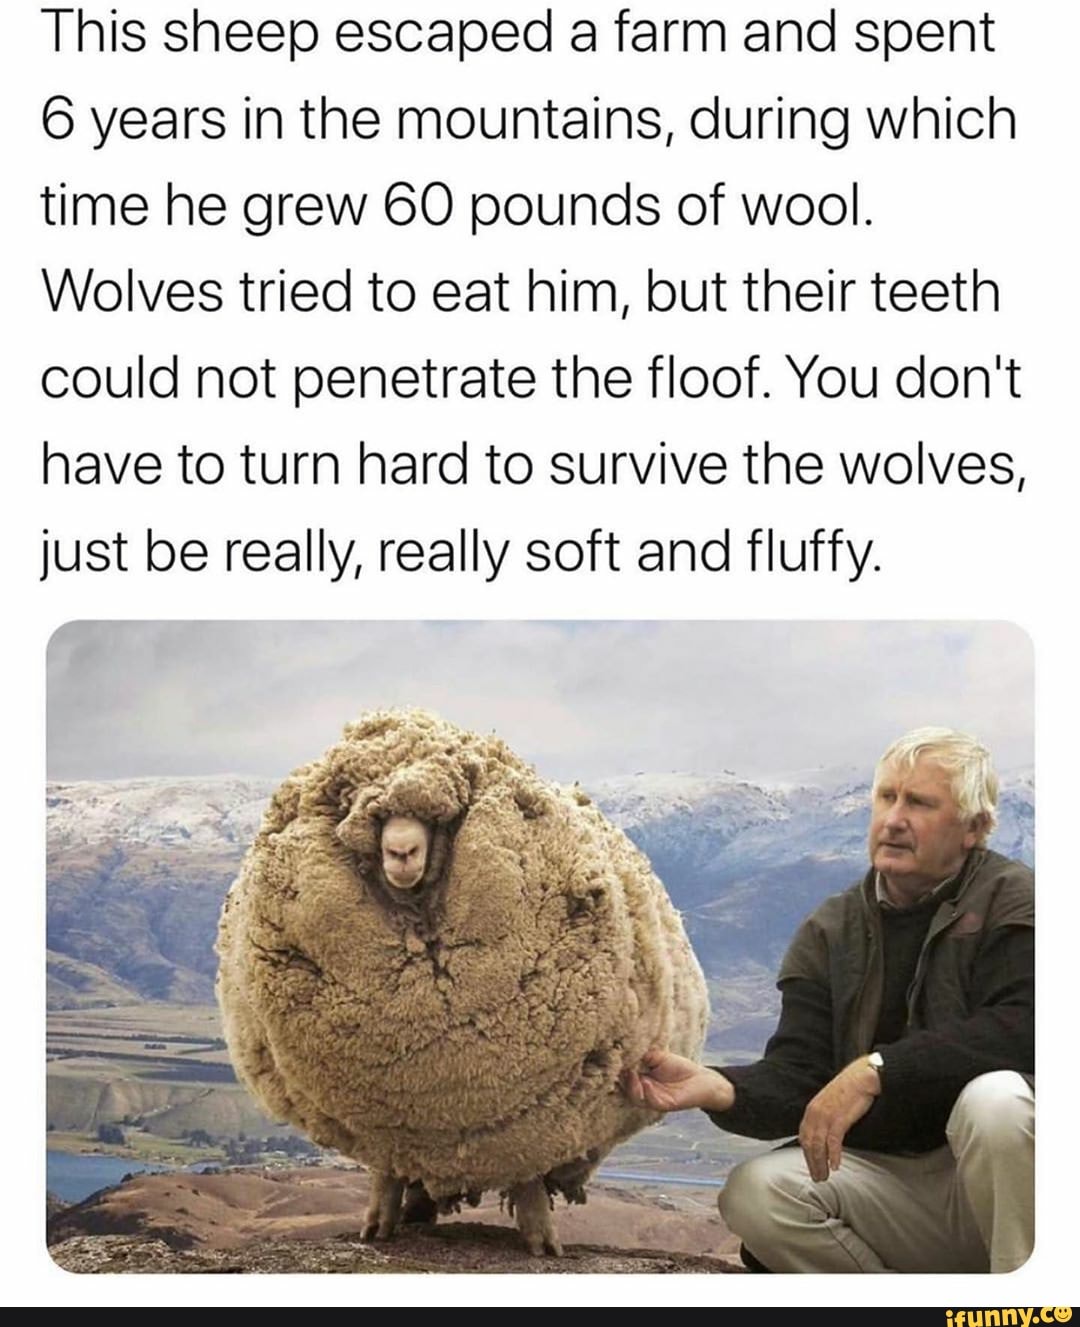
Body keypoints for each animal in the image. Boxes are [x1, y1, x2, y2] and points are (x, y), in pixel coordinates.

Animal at [216, 708, 709, 1256]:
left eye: (439, 821)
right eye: (369, 815)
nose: (401, 851)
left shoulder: (540, 1115)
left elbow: (529, 1176)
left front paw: (540, 1238)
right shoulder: (384, 1121)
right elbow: (385, 1170)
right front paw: (378, 1222)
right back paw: (413, 1209)